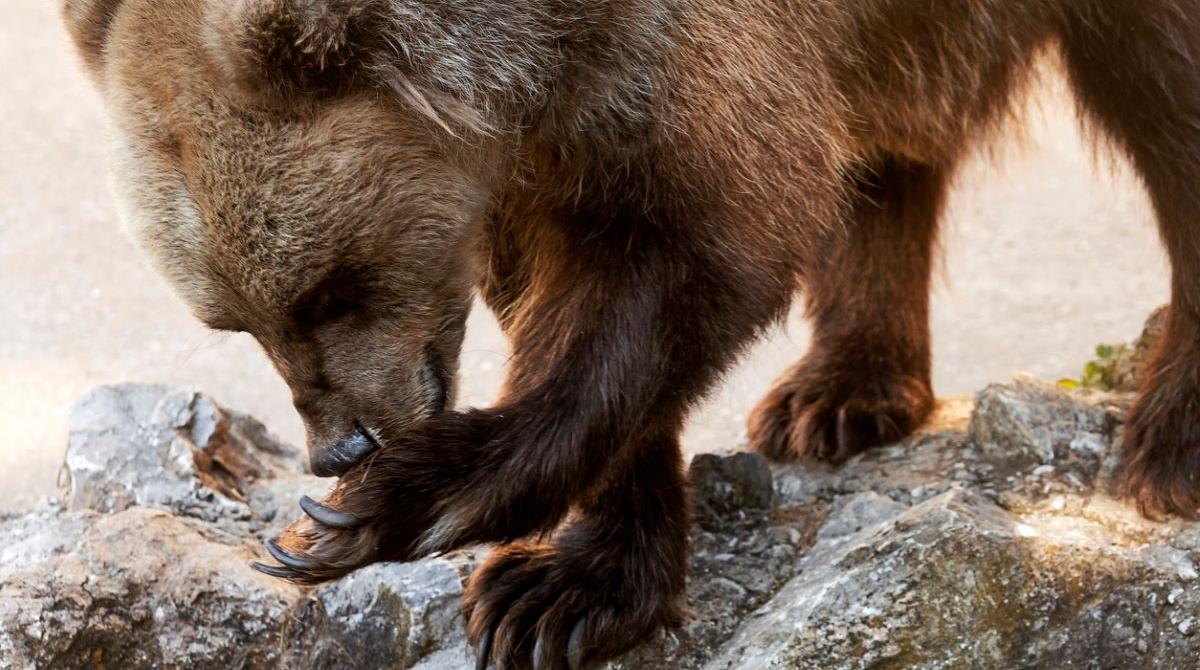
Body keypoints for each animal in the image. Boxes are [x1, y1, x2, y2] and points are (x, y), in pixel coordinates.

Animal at [63, 0, 1200, 667]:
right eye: (232, 317)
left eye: (329, 289)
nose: (340, 447)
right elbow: (557, 283)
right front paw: (571, 583)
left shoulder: (679, 59)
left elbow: (697, 237)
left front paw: (402, 506)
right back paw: (839, 388)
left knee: (1166, 98)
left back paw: (1170, 439)